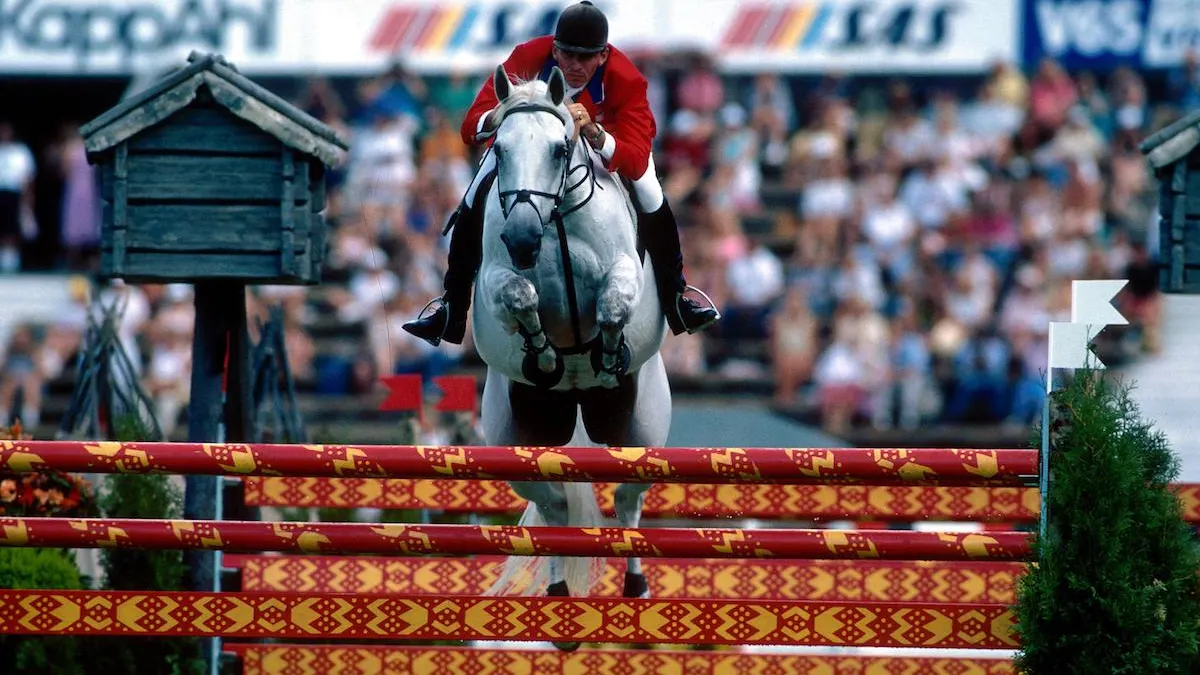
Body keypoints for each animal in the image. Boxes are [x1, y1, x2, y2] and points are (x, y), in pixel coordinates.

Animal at [469, 65, 672, 651]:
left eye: (561, 148)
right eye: (499, 147)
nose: (520, 238)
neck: (554, 218)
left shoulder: (623, 271)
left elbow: (612, 304)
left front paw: (604, 352)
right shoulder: (496, 279)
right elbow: (520, 296)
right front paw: (545, 357)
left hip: (642, 431)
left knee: (627, 500)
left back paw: (636, 591)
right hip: (517, 440)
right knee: (556, 508)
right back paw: (560, 607)